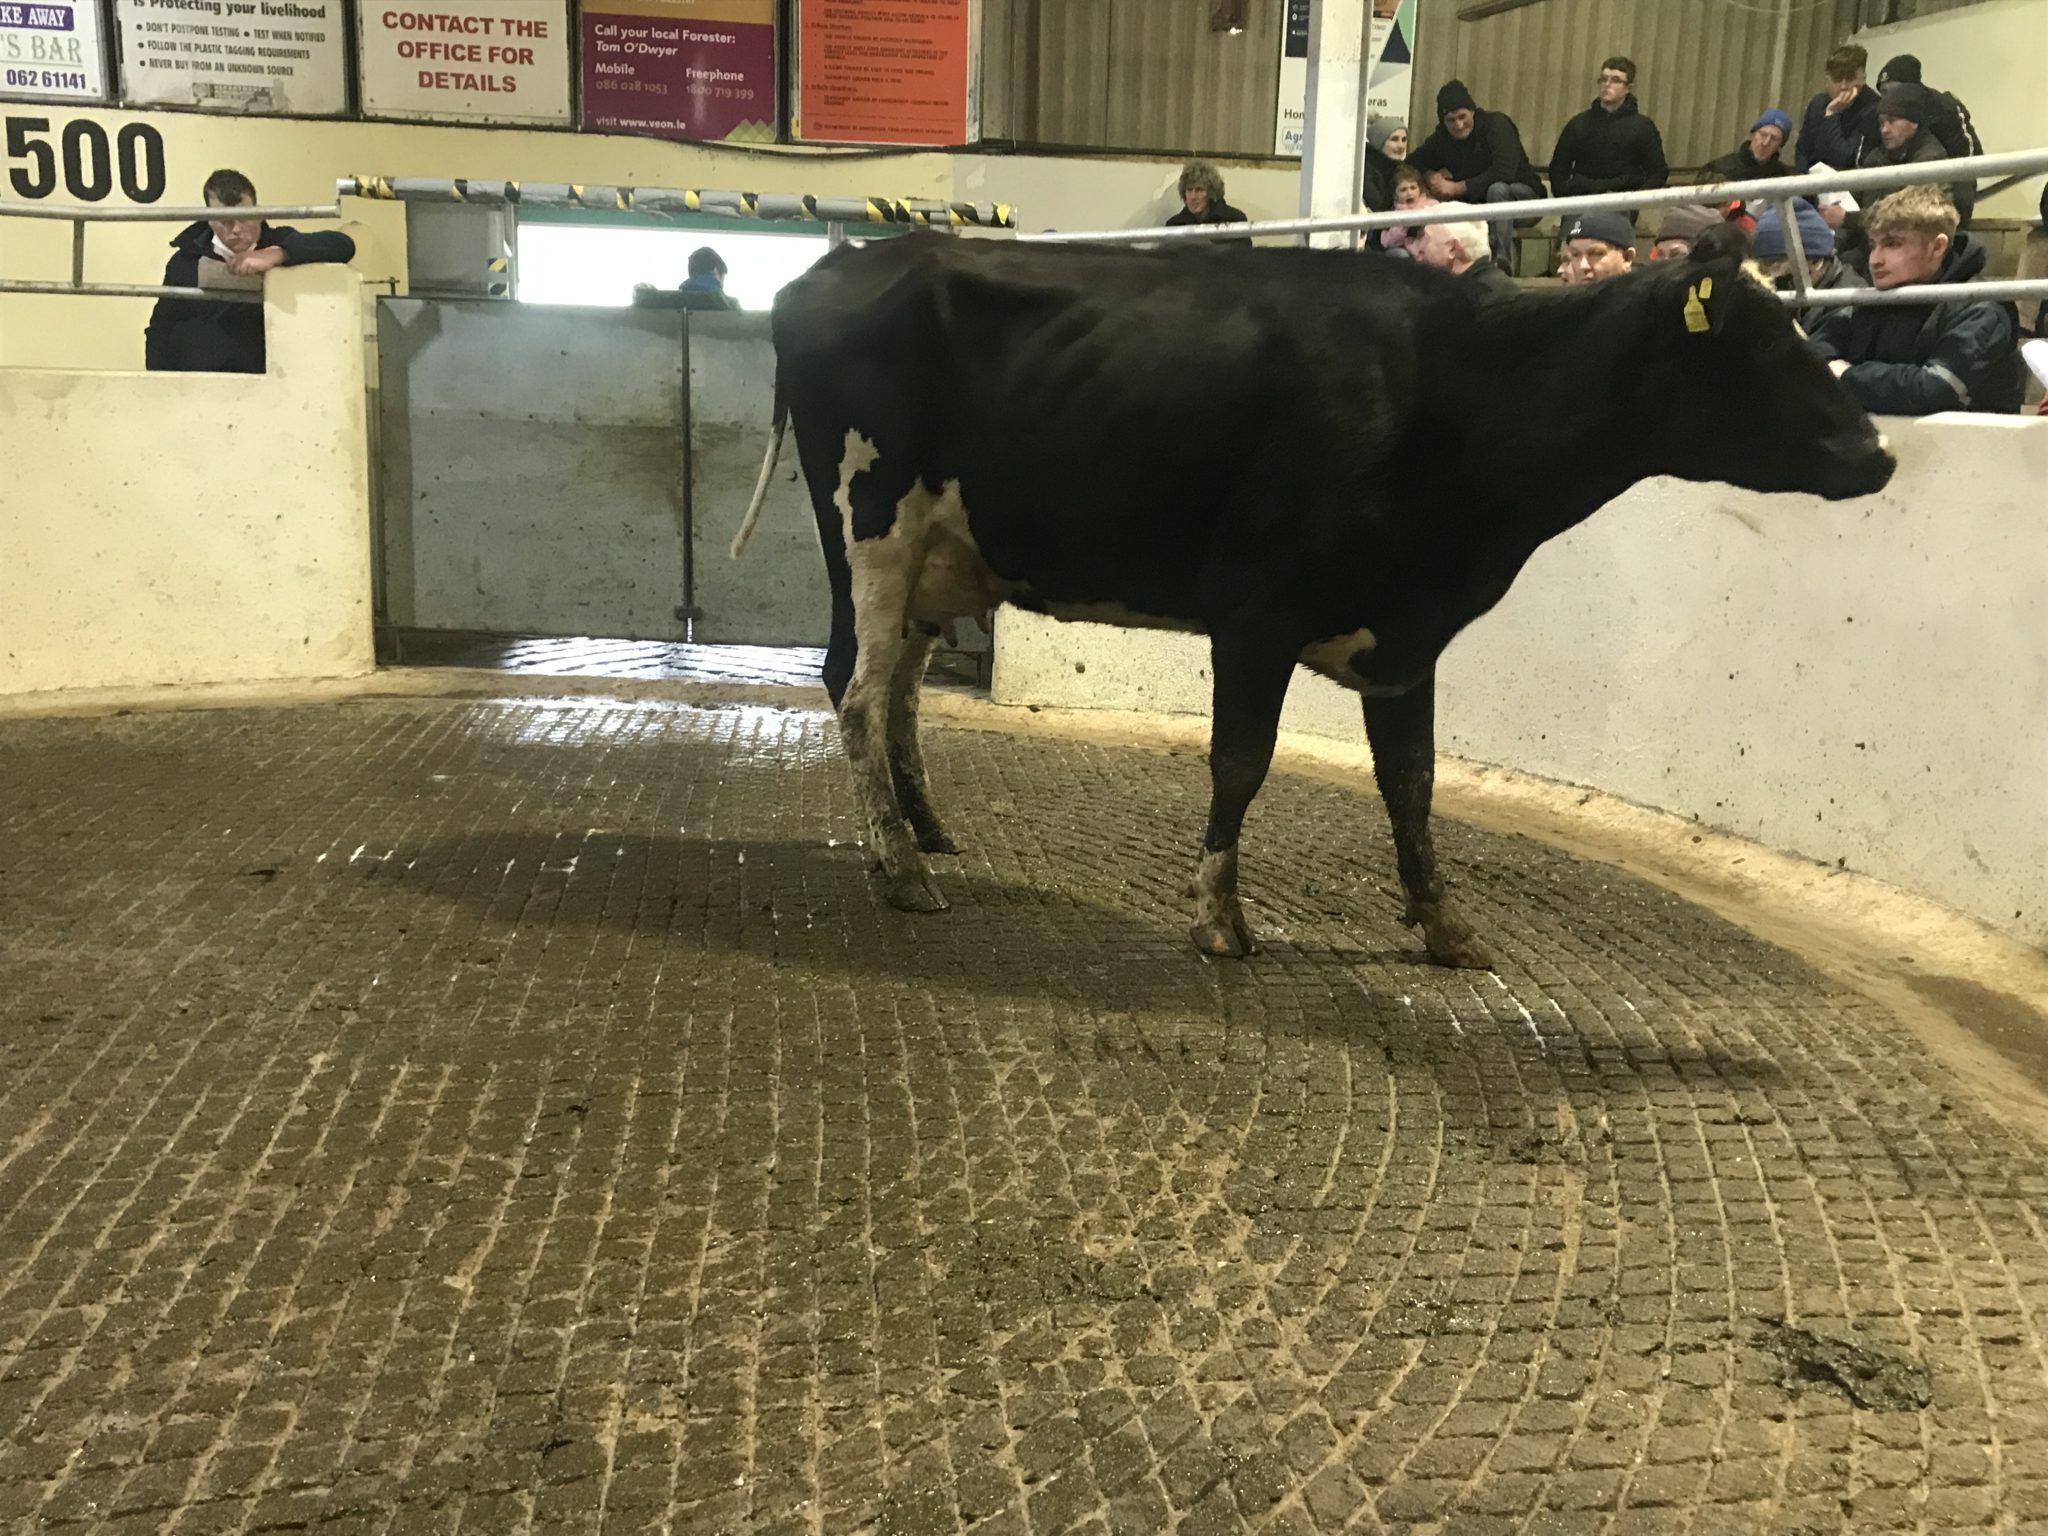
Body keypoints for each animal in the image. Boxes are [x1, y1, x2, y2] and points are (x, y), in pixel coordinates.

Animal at [729, 235, 1894, 967]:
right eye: (1757, 344)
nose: (1878, 453)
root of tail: (844, 260)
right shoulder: (1257, 612)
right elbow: (1241, 763)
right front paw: (1217, 917)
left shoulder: (1407, 638)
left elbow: (1412, 785)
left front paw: (1444, 929)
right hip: (871, 523)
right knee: (856, 689)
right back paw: (895, 865)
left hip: (937, 552)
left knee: (898, 689)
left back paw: (925, 830)